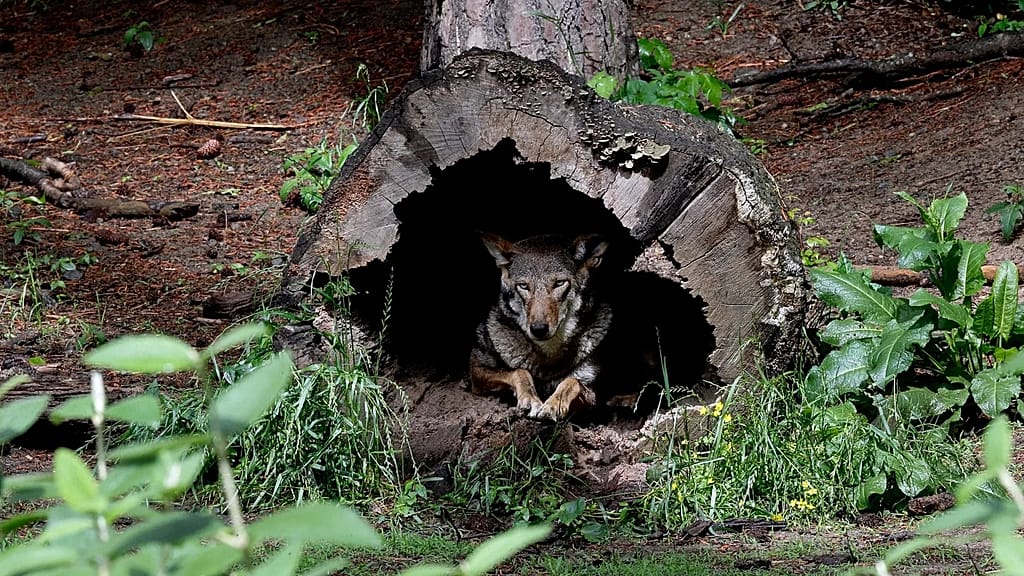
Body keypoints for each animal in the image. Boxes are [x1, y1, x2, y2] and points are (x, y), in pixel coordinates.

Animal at [469, 233, 613, 421]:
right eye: (523, 286)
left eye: (559, 283)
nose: (538, 329)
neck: (549, 354)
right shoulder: (476, 370)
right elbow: (519, 371)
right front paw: (531, 399)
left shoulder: (596, 397)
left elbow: (572, 382)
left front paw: (554, 404)